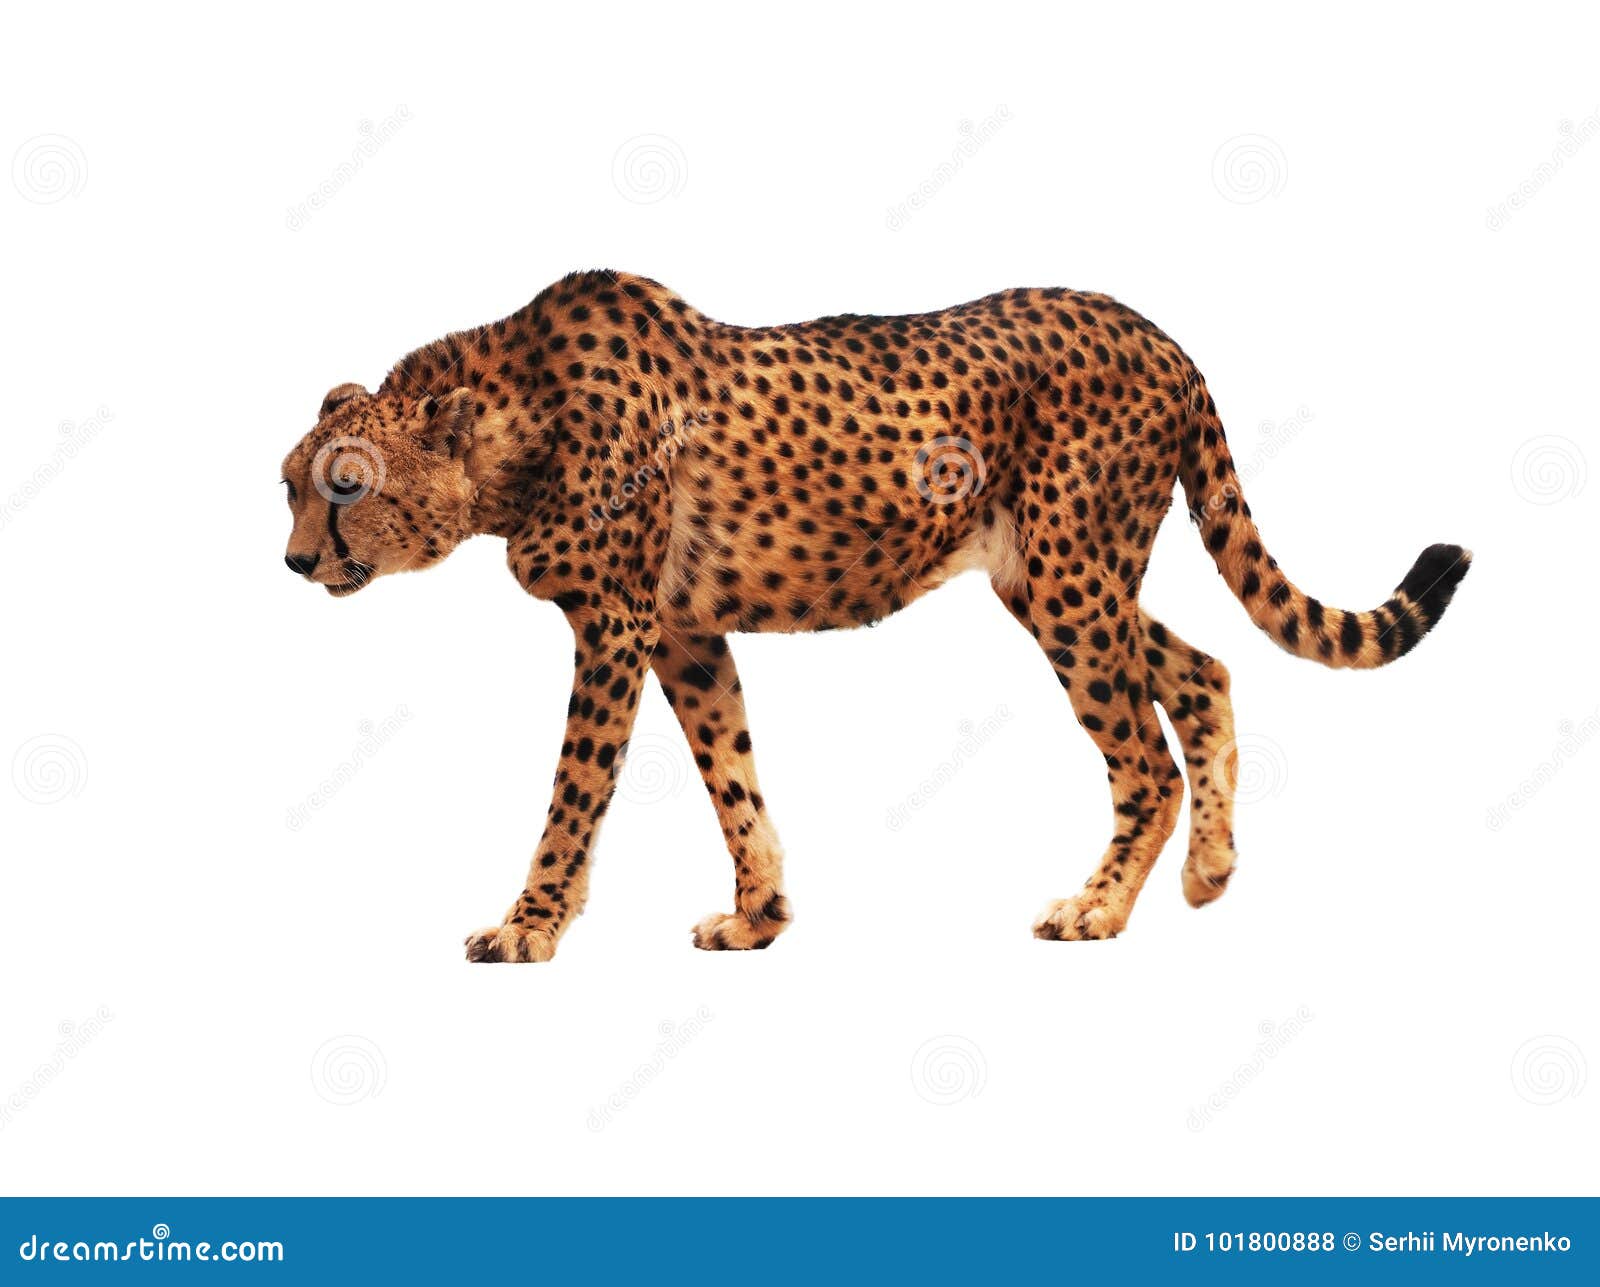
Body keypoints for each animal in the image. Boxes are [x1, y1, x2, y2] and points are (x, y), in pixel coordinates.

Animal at [280, 270, 1470, 961]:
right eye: (288, 485)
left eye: (343, 486)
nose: (294, 562)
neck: (508, 421)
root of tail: (1152, 328)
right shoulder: (683, 632)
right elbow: (731, 774)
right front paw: (758, 914)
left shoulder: (614, 624)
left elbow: (575, 791)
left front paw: (527, 927)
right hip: (1054, 578)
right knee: (1204, 669)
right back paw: (1209, 872)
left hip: (1070, 580)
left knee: (1144, 756)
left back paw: (1097, 909)